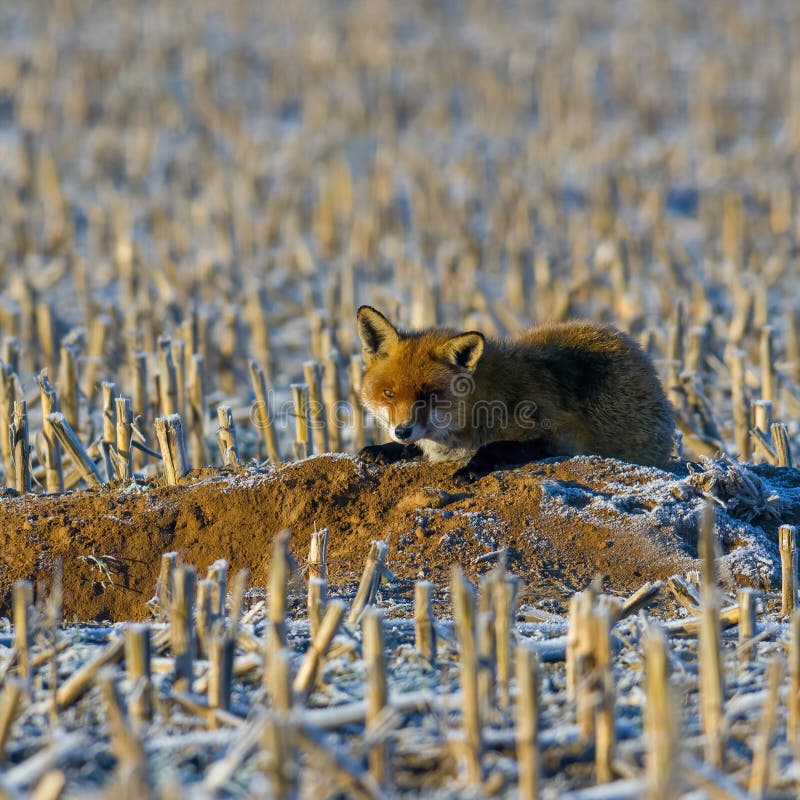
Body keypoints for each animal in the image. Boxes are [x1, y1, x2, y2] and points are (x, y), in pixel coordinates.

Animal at [356, 306, 675, 483]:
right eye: (388, 393)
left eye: (430, 395)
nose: (402, 430)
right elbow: (414, 448)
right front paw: (386, 449)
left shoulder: (559, 436)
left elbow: (496, 447)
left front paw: (471, 468)